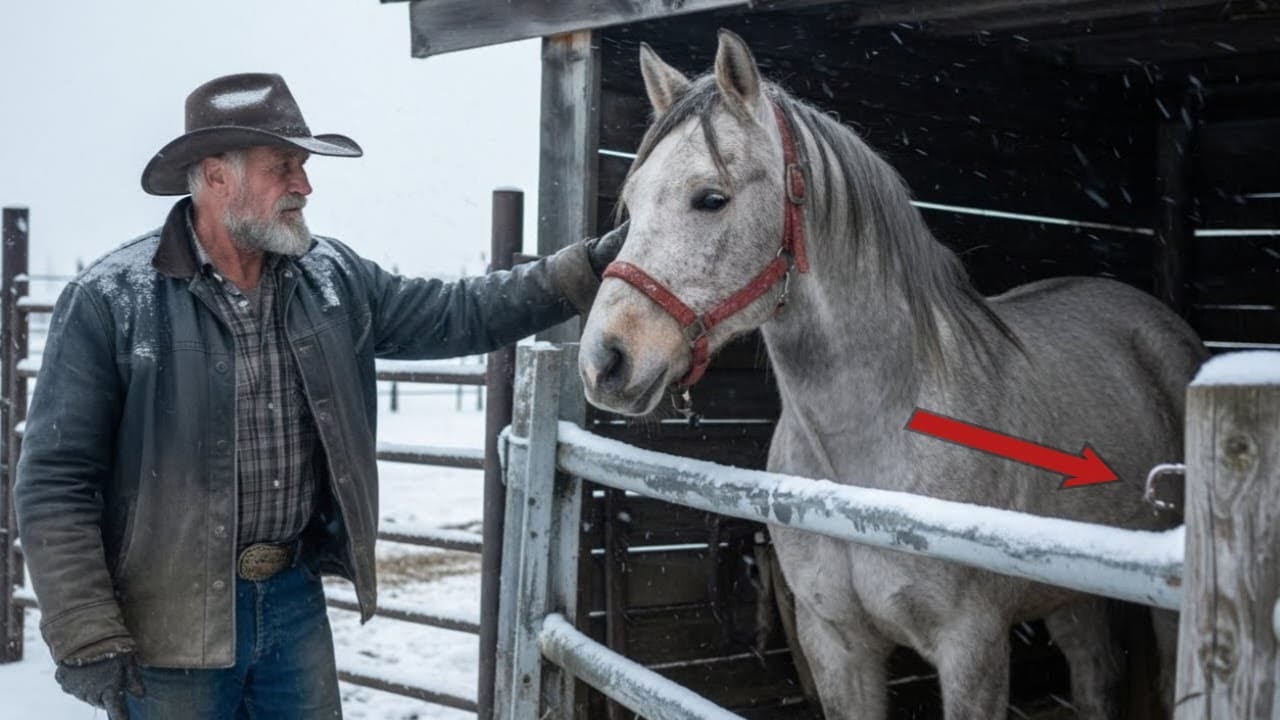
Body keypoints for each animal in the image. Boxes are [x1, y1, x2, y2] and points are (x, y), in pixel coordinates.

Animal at [577, 30, 1206, 719]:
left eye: (710, 198)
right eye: (632, 204)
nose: (605, 360)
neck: (865, 456)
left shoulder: (973, 649)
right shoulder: (836, 647)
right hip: (1072, 598)